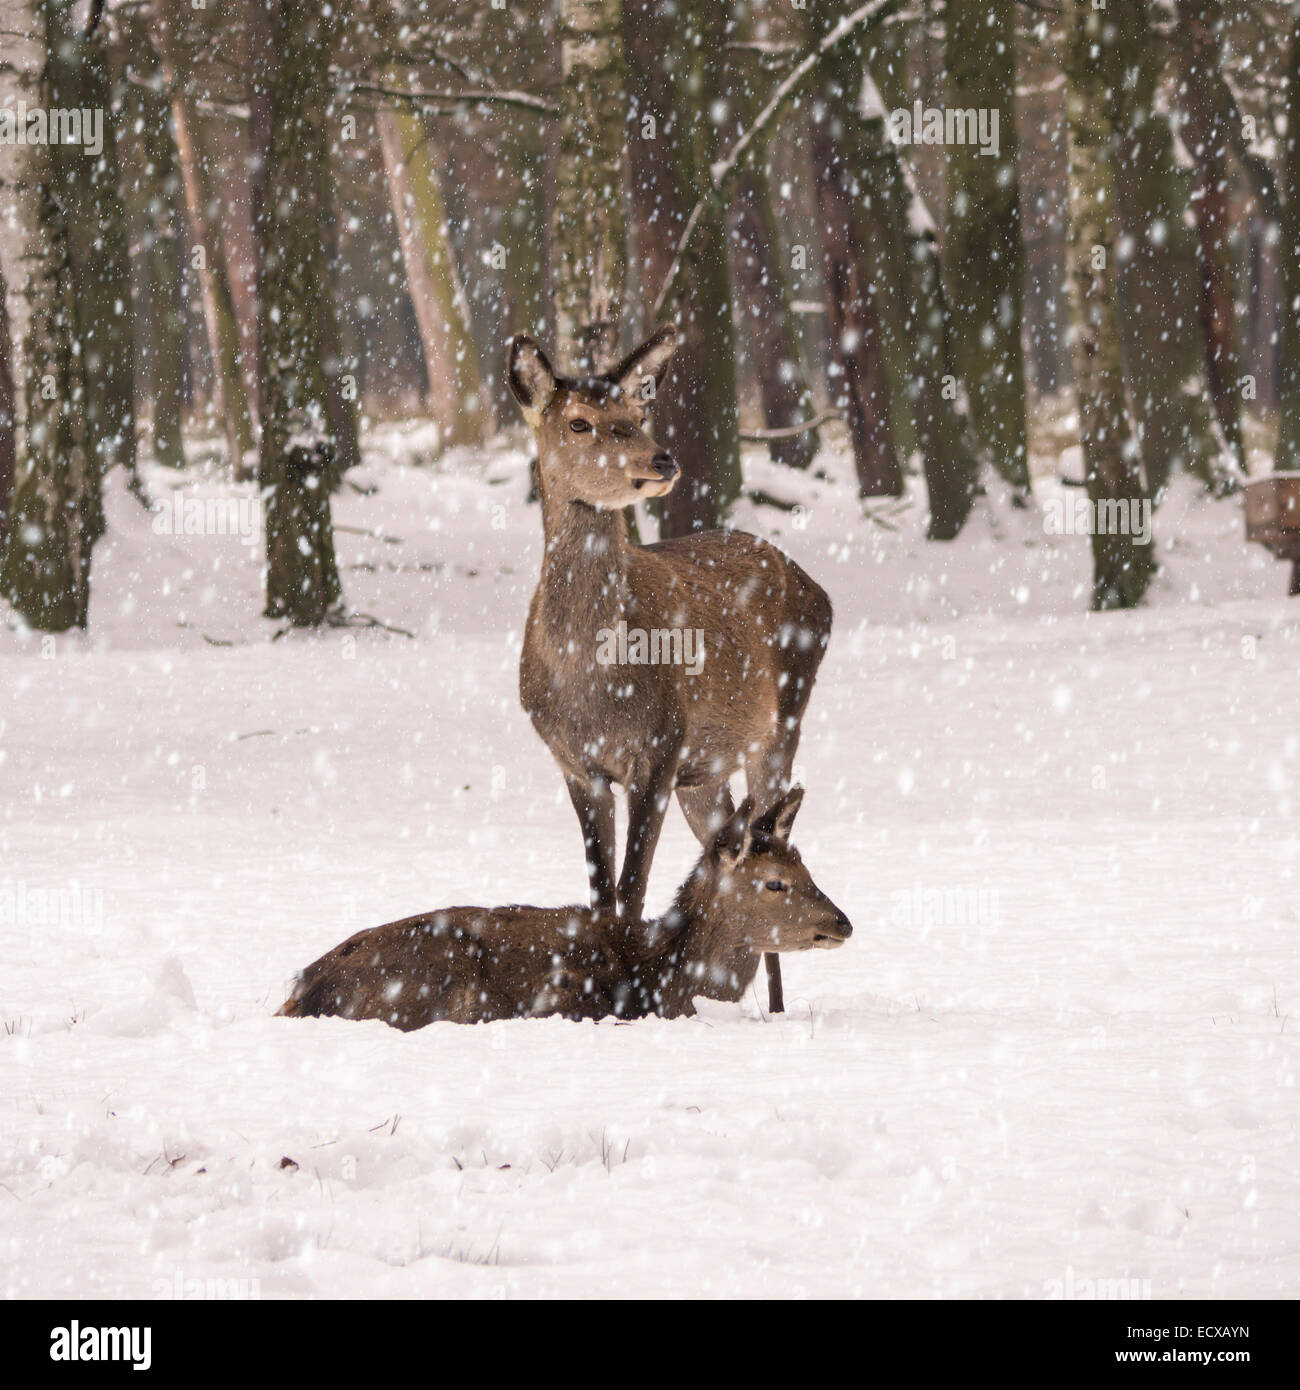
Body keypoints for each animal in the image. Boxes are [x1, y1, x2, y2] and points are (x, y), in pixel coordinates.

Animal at [506, 324, 834, 1013]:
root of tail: (817, 589)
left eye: (637, 415)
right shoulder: (574, 762)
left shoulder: (658, 749)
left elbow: (632, 889)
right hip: (703, 776)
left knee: (772, 832)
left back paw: (775, 1009)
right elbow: (602, 893)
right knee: (725, 839)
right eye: (578, 421)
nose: (662, 461)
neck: (591, 679)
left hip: (780, 726)